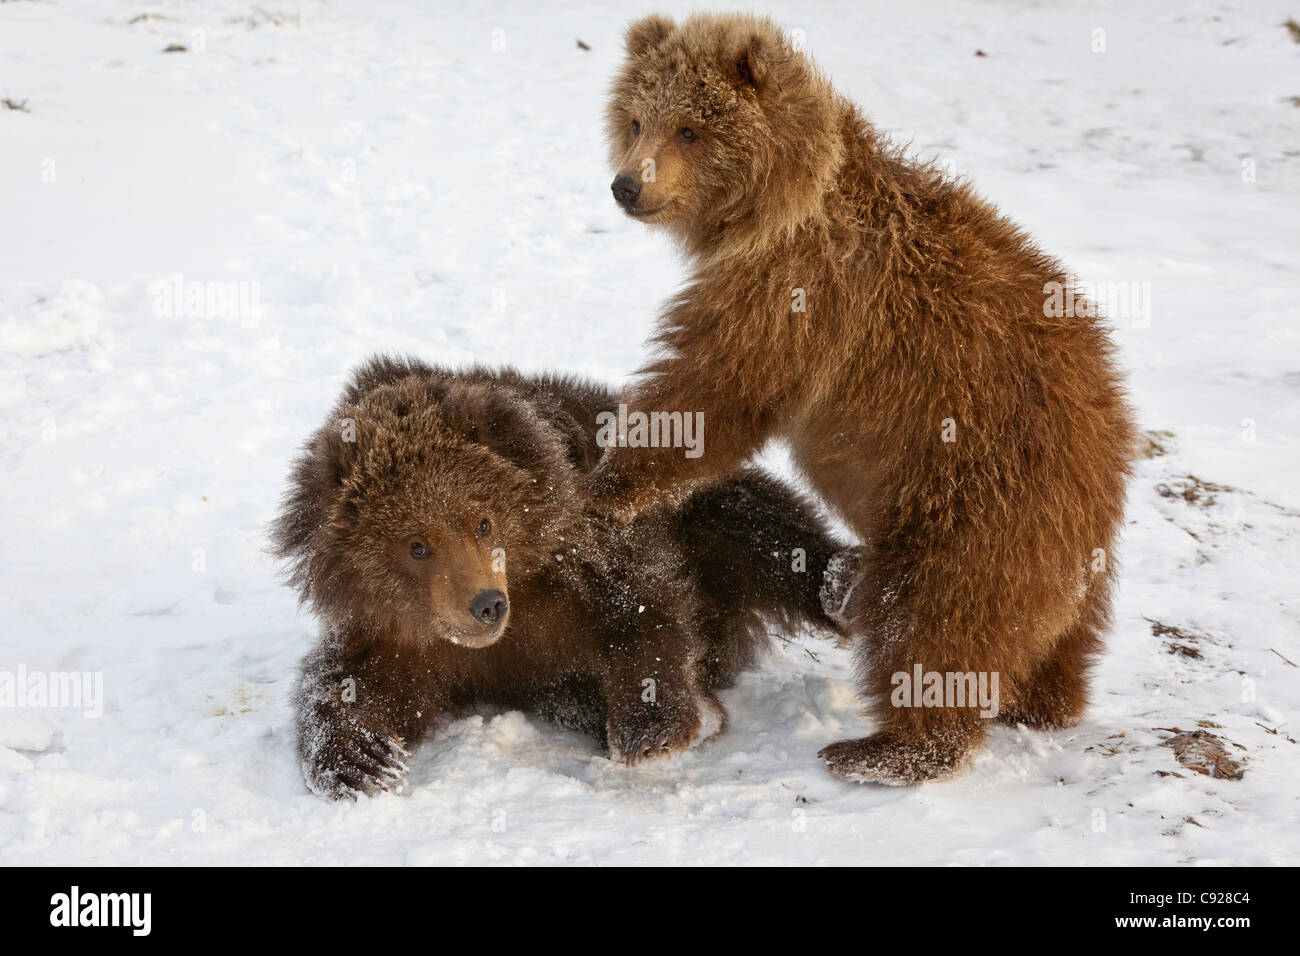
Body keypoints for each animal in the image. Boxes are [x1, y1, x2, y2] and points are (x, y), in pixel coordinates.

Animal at [272, 355, 842, 799]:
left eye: (483, 520)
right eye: (417, 545)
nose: (486, 604)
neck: (524, 582)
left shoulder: (588, 544)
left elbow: (643, 604)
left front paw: (653, 727)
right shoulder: (409, 636)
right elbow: (354, 679)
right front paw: (359, 757)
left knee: (758, 521)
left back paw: (839, 587)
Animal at [588, 13, 1136, 784]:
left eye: (689, 129)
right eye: (635, 119)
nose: (626, 186)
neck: (774, 205)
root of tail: (1108, 444)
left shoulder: (801, 291)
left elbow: (719, 383)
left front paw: (609, 481)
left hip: (975, 496)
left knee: (934, 617)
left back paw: (885, 749)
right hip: (1057, 540)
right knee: (1060, 633)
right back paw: (1045, 699)